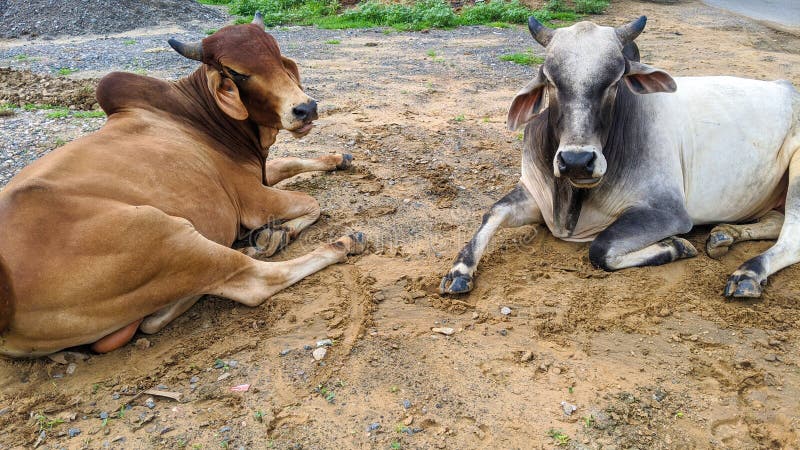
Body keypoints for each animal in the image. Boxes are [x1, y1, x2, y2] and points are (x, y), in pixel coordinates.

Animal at [0, 14, 366, 358]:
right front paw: (280, 231)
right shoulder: (252, 199)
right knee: (252, 281)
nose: (306, 108)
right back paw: (334, 243)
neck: (201, 116)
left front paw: (339, 158)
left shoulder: (259, 172)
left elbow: (290, 163)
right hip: (162, 232)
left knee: (153, 319)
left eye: (276, 55)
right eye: (238, 73)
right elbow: (312, 203)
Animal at [441, 16, 800, 299]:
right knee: (774, 221)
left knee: (791, 237)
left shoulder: (667, 211)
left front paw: (677, 246)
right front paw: (459, 270)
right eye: (551, 80)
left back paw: (748, 273)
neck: (572, 198)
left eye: (615, 82)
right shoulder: (535, 193)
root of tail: (787, 86)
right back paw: (725, 235)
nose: (576, 161)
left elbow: (601, 250)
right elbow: (493, 213)